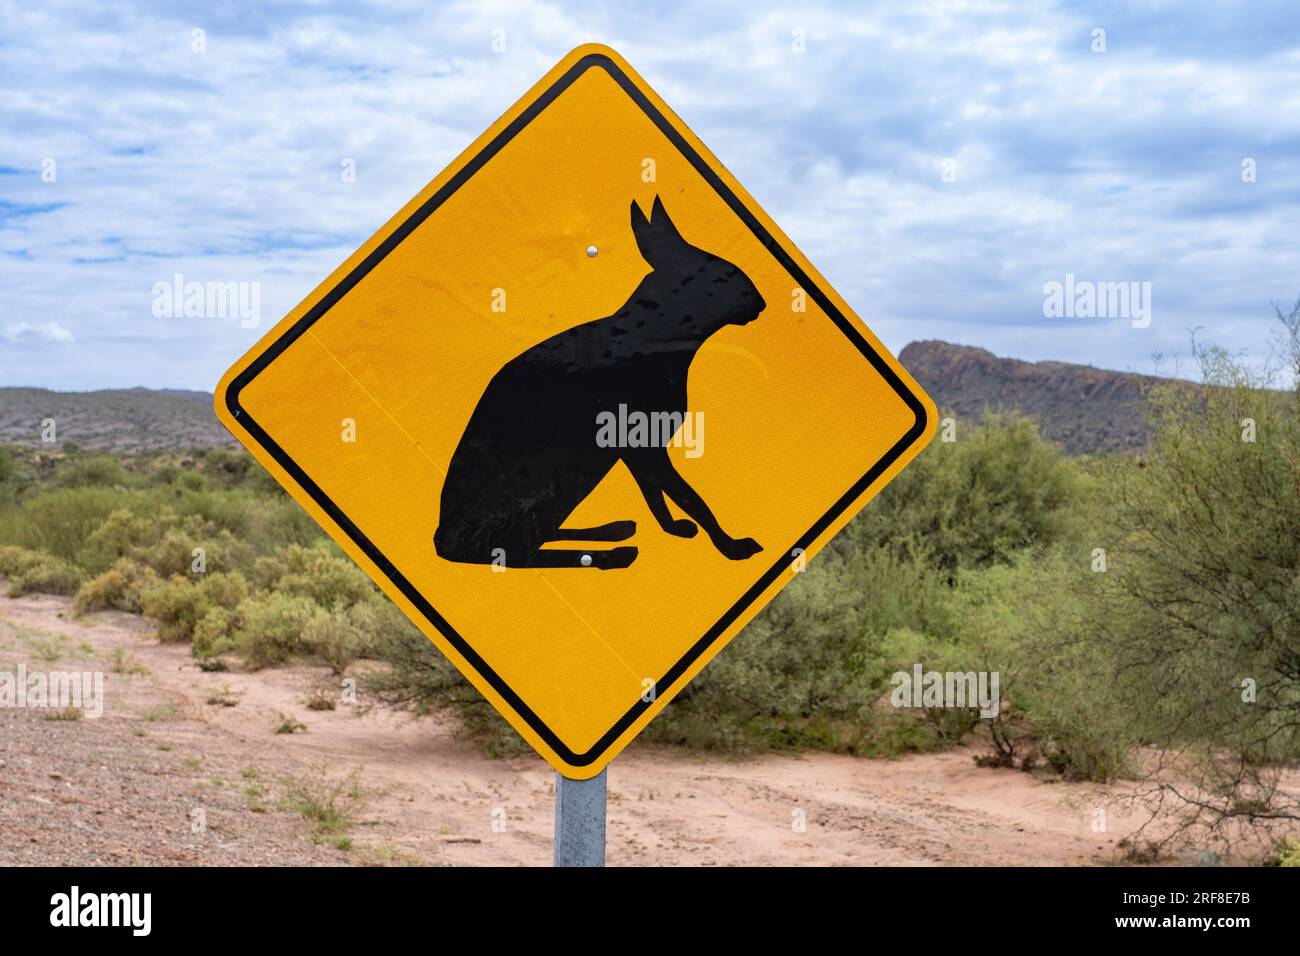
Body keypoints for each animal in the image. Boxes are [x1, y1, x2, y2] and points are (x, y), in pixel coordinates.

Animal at [434, 195, 767, 570]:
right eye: (723, 274)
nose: (761, 302)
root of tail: (441, 541)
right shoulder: (644, 447)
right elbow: (689, 497)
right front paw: (733, 548)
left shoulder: (637, 451)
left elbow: (656, 497)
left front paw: (677, 530)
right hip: (554, 477)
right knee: (514, 552)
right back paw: (613, 555)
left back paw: (616, 530)